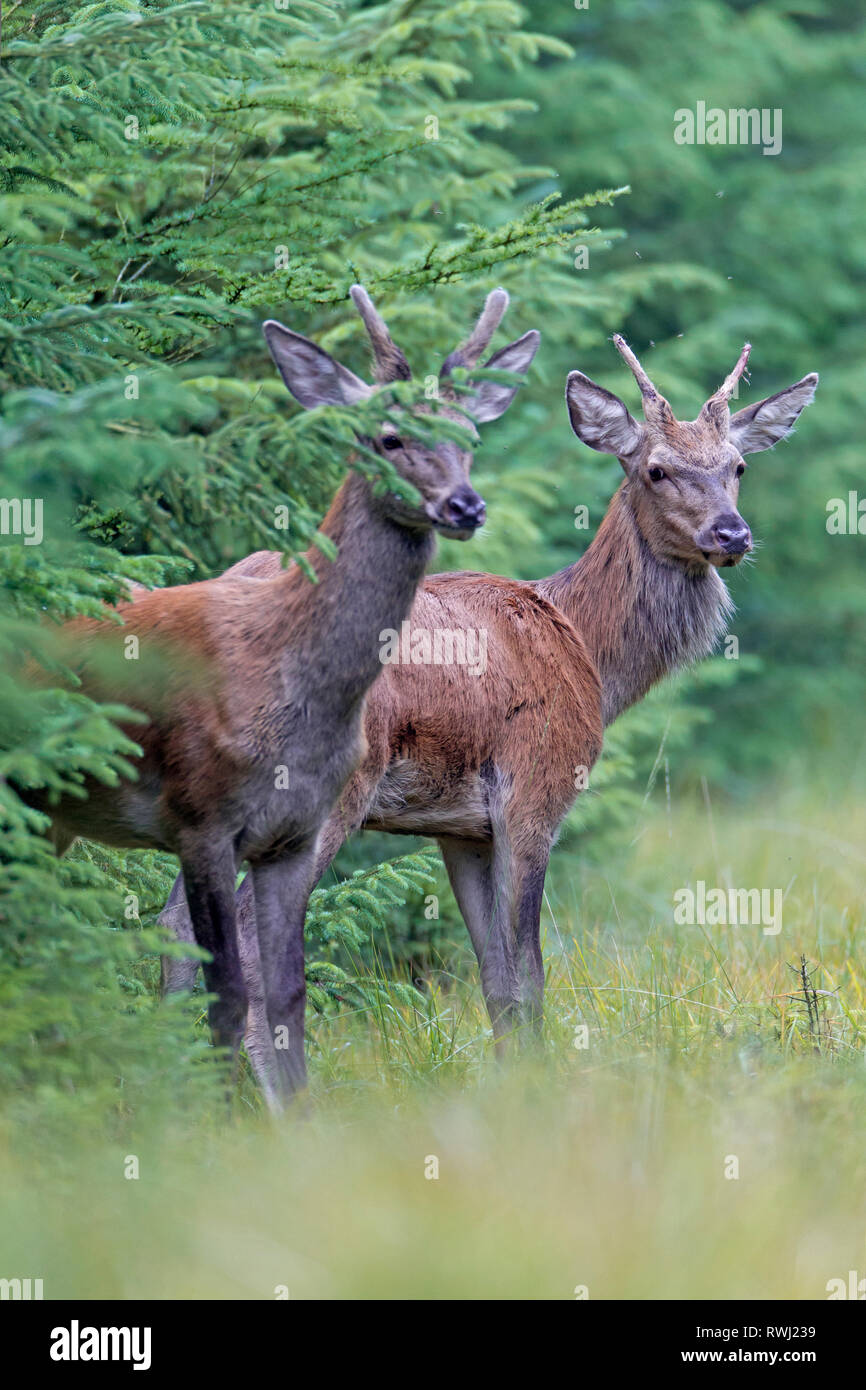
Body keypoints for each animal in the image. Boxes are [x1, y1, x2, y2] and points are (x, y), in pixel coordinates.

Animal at [32, 285, 541, 1109]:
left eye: (469, 436)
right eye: (388, 437)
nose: (465, 505)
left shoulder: (293, 834)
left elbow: (289, 997)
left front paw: (299, 1123)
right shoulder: (198, 817)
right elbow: (229, 993)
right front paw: (219, 1123)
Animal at [160, 334, 818, 1080]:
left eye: (737, 466)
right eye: (656, 470)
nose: (731, 534)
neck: (587, 651)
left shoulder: (461, 828)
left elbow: (495, 981)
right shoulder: (535, 790)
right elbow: (529, 975)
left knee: (177, 924)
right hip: (325, 788)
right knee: (241, 933)